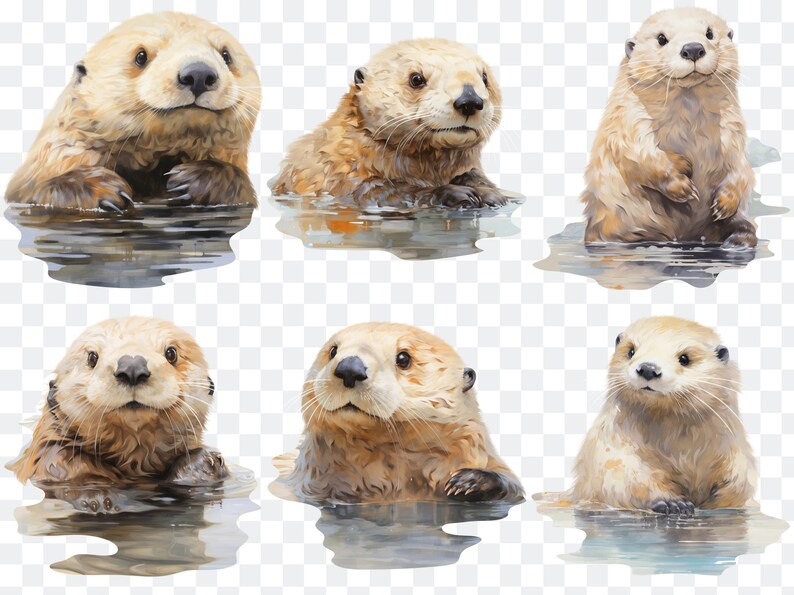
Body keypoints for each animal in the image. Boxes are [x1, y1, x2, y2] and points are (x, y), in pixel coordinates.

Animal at [6, 13, 261, 211]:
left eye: (226, 55)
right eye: (141, 56)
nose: (198, 74)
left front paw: (198, 179)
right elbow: (30, 189)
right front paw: (100, 188)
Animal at [7, 317, 228, 511]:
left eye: (171, 353)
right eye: (92, 357)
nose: (132, 367)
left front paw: (202, 463)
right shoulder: (52, 460)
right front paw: (97, 497)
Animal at [270, 39, 508, 209]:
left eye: (485, 78)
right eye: (416, 79)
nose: (469, 100)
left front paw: (489, 192)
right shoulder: (334, 175)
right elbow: (377, 191)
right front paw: (459, 193)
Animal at [567, 316, 757, 515]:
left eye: (684, 358)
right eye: (631, 351)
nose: (648, 368)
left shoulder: (733, 445)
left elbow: (741, 481)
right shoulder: (611, 448)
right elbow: (624, 478)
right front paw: (673, 503)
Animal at [582, 8, 757, 248]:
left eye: (709, 33)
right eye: (661, 39)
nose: (692, 49)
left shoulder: (732, 131)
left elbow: (741, 169)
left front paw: (723, 204)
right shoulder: (630, 120)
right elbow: (638, 154)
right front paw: (683, 180)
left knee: (743, 228)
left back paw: (738, 239)